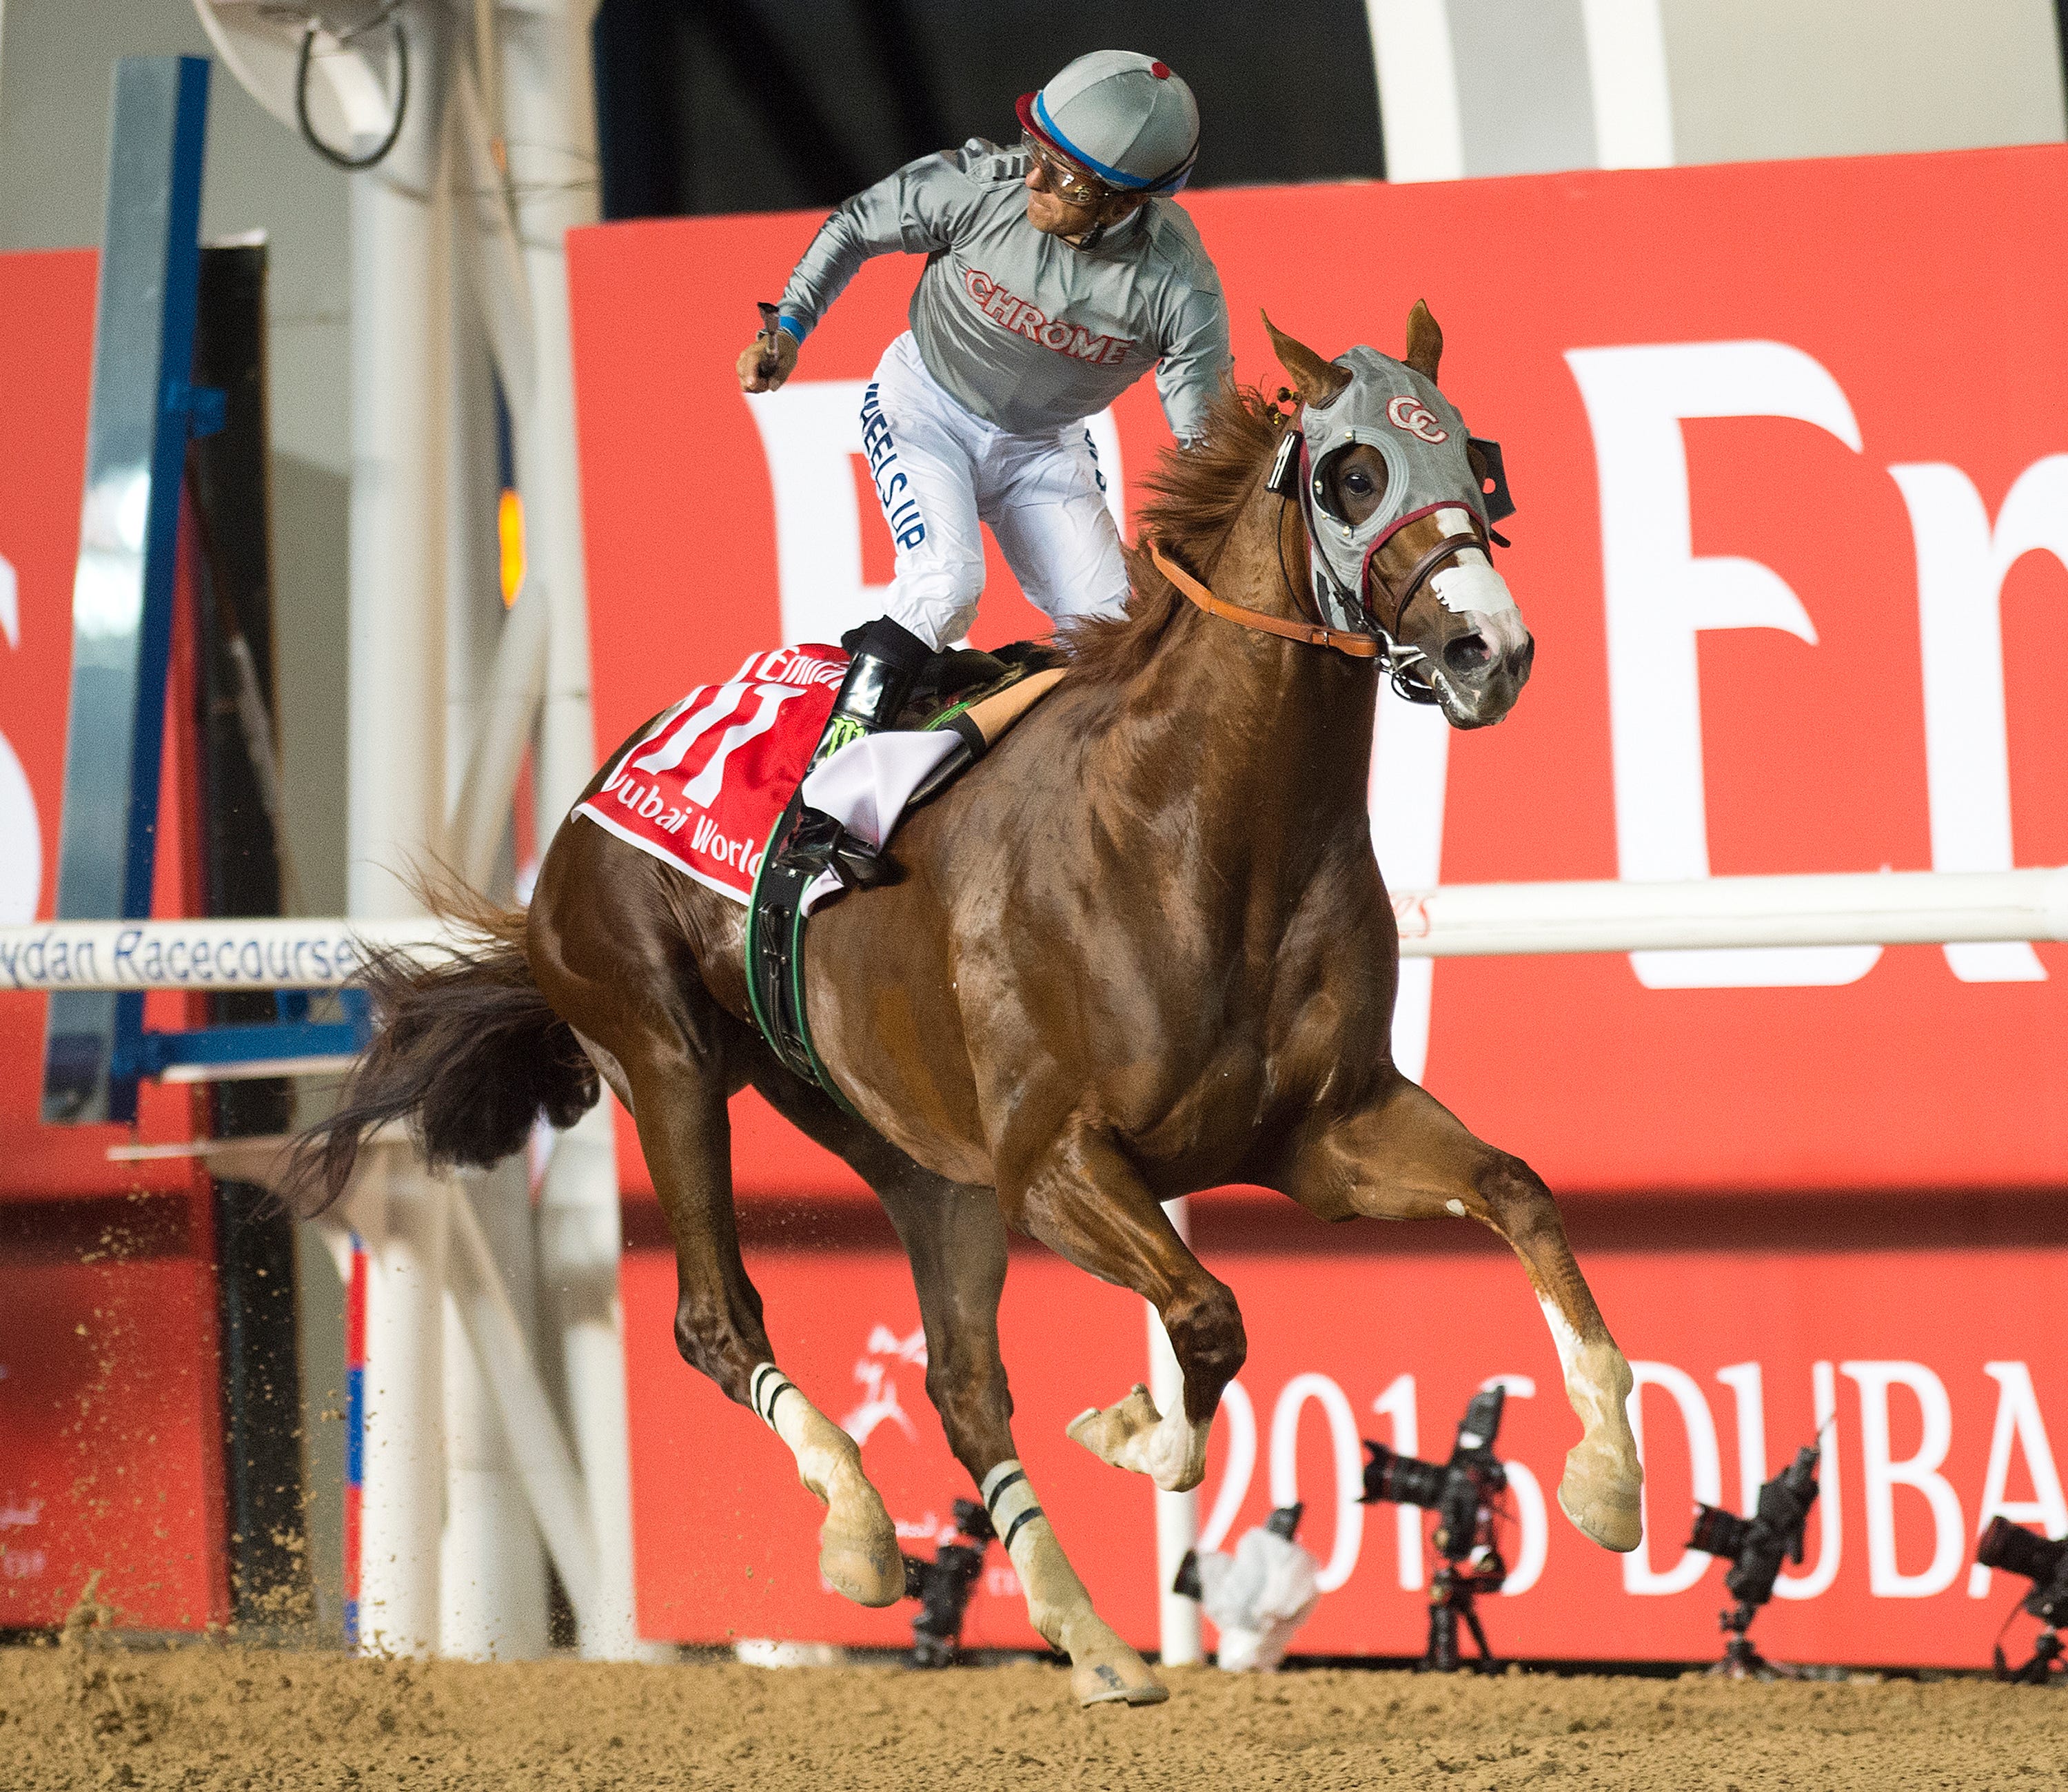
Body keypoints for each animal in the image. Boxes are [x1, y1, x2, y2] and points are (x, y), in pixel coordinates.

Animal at [293, 306, 1643, 1706]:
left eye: (1478, 463)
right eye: (1354, 474)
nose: (1494, 650)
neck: (1202, 828)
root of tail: (585, 804)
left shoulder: (1325, 1132)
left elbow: (1514, 1191)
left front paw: (1608, 1486)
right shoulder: (1052, 1160)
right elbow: (1210, 1317)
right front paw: (1136, 1432)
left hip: (915, 1154)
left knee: (960, 1381)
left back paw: (1092, 1638)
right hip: (662, 1057)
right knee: (718, 1318)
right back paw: (858, 1531)